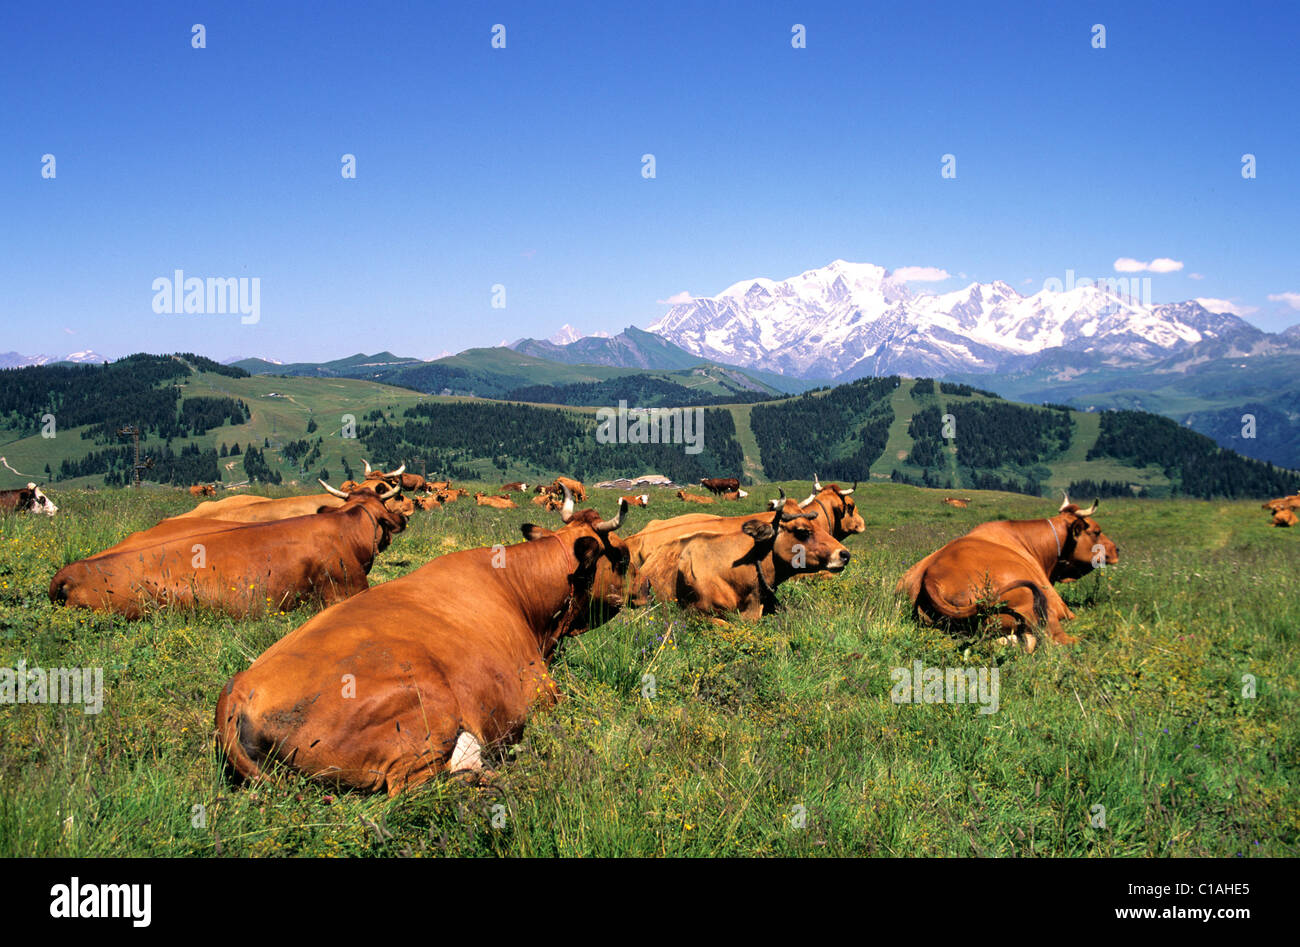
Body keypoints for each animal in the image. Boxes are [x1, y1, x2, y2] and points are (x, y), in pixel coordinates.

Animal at [214, 488, 646, 795]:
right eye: (623, 558)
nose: (640, 594)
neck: (520, 589)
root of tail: (239, 690)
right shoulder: (542, 692)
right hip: (426, 711)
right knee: (412, 790)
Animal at [897, 494, 1119, 651]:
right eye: (1096, 531)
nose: (1116, 549)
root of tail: (932, 577)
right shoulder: (1061, 607)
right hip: (1039, 608)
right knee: (1060, 640)